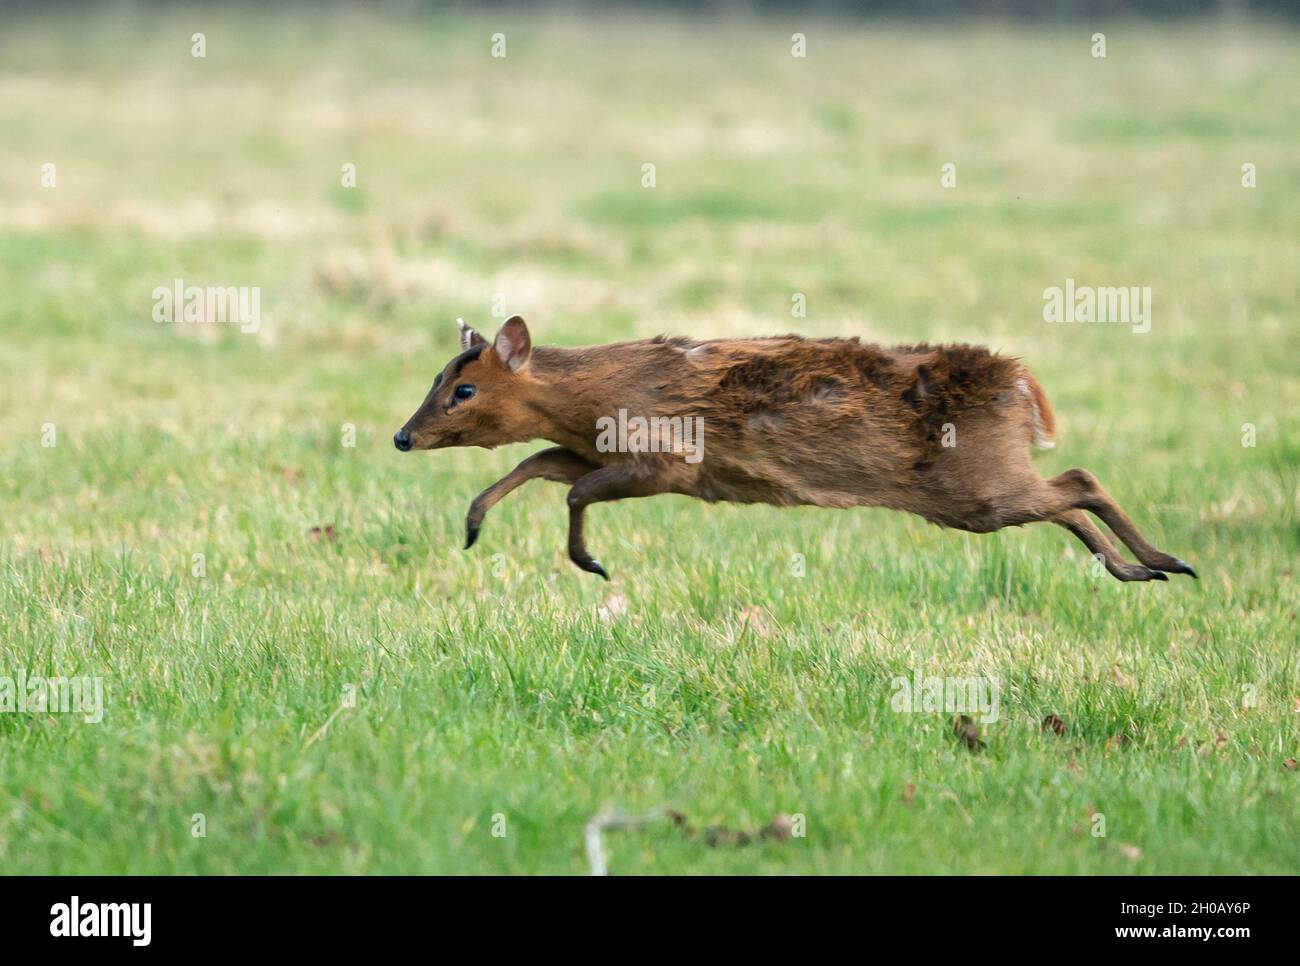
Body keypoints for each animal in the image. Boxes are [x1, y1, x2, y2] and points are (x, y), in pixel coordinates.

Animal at [394, 316, 1196, 584]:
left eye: (463, 390)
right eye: (435, 376)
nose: (403, 435)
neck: (590, 398)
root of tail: (1025, 386)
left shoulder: (671, 457)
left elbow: (570, 487)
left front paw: (589, 561)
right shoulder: (598, 449)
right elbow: (538, 463)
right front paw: (472, 524)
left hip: (976, 489)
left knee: (1079, 479)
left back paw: (1161, 562)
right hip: (982, 491)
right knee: (1070, 492)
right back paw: (1144, 568)